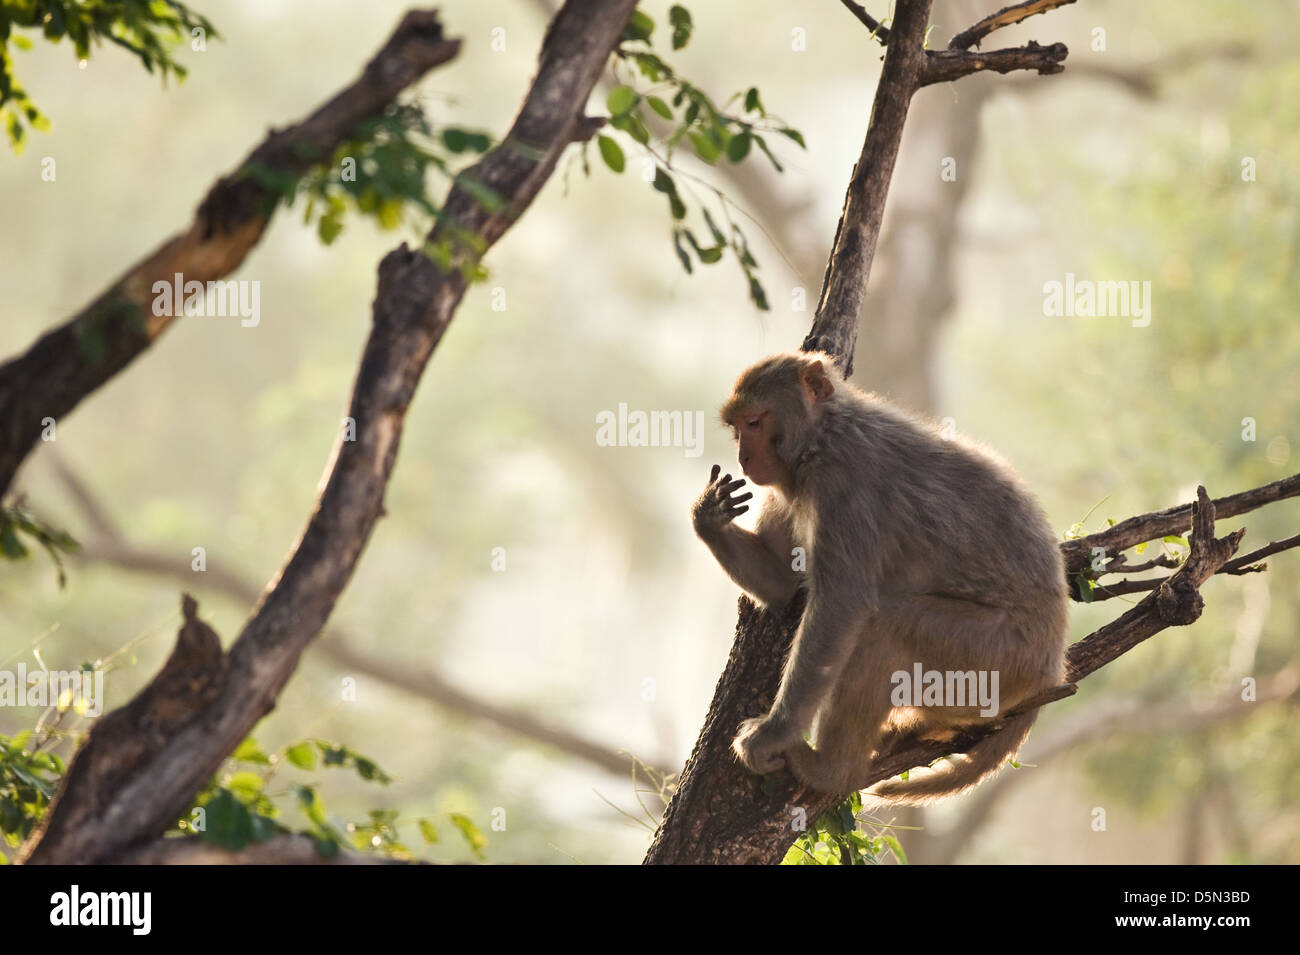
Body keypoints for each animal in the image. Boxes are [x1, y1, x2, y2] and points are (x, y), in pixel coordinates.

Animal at [691, 351, 1068, 804]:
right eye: (737, 427)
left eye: (754, 422)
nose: (745, 457)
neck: (823, 435)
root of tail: (1051, 670)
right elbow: (783, 586)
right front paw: (708, 514)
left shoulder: (843, 485)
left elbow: (840, 605)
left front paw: (773, 734)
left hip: (997, 658)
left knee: (885, 629)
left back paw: (833, 770)